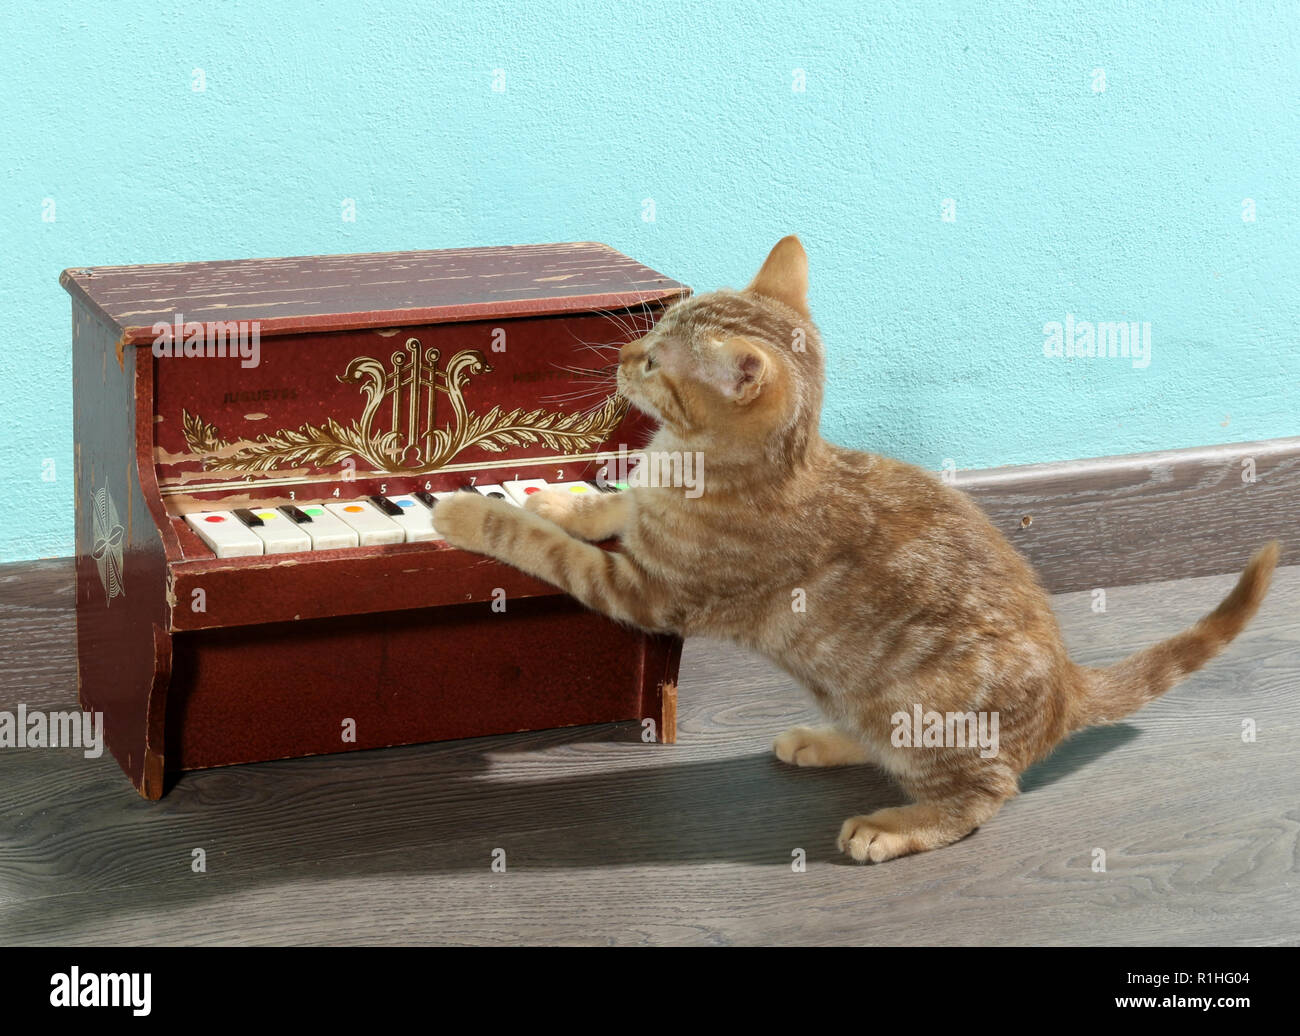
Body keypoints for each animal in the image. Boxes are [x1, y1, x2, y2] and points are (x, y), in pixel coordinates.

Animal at [434, 237, 1279, 863]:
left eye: (653, 363)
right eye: (650, 335)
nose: (621, 352)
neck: (685, 460)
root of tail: (1069, 686)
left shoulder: (648, 592)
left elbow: (548, 548)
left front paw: (470, 510)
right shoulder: (638, 507)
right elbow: (608, 503)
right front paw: (558, 497)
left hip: (925, 711)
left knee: (980, 793)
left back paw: (892, 825)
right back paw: (822, 740)